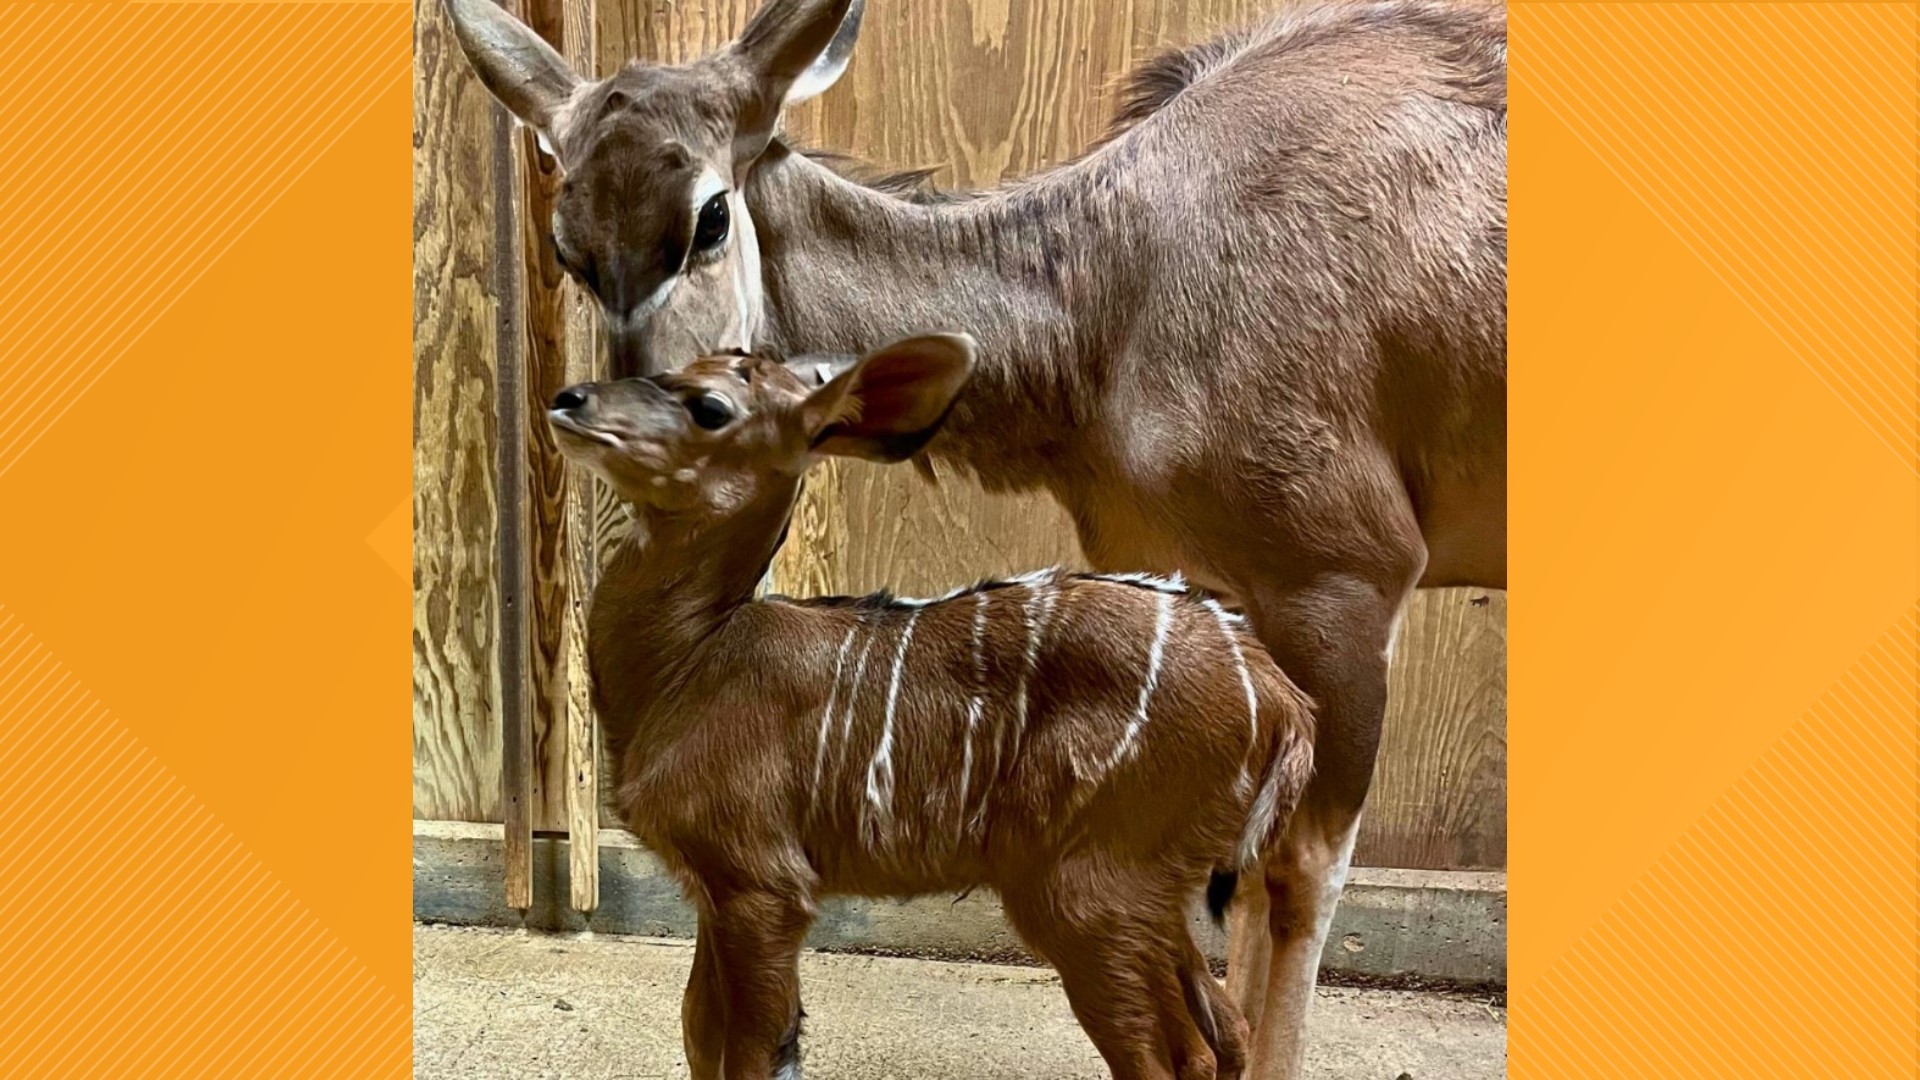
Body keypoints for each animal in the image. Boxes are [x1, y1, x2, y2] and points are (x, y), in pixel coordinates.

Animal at [550, 333, 1316, 1079]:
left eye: (709, 405)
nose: (569, 398)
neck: (690, 661)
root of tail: (1283, 700)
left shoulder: (762, 882)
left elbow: (745, 1049)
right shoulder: (717, 886)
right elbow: (701, 1033)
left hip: (1081, 891)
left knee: (1166, 1054)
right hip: (1146, 891)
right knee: (1222, 1035)